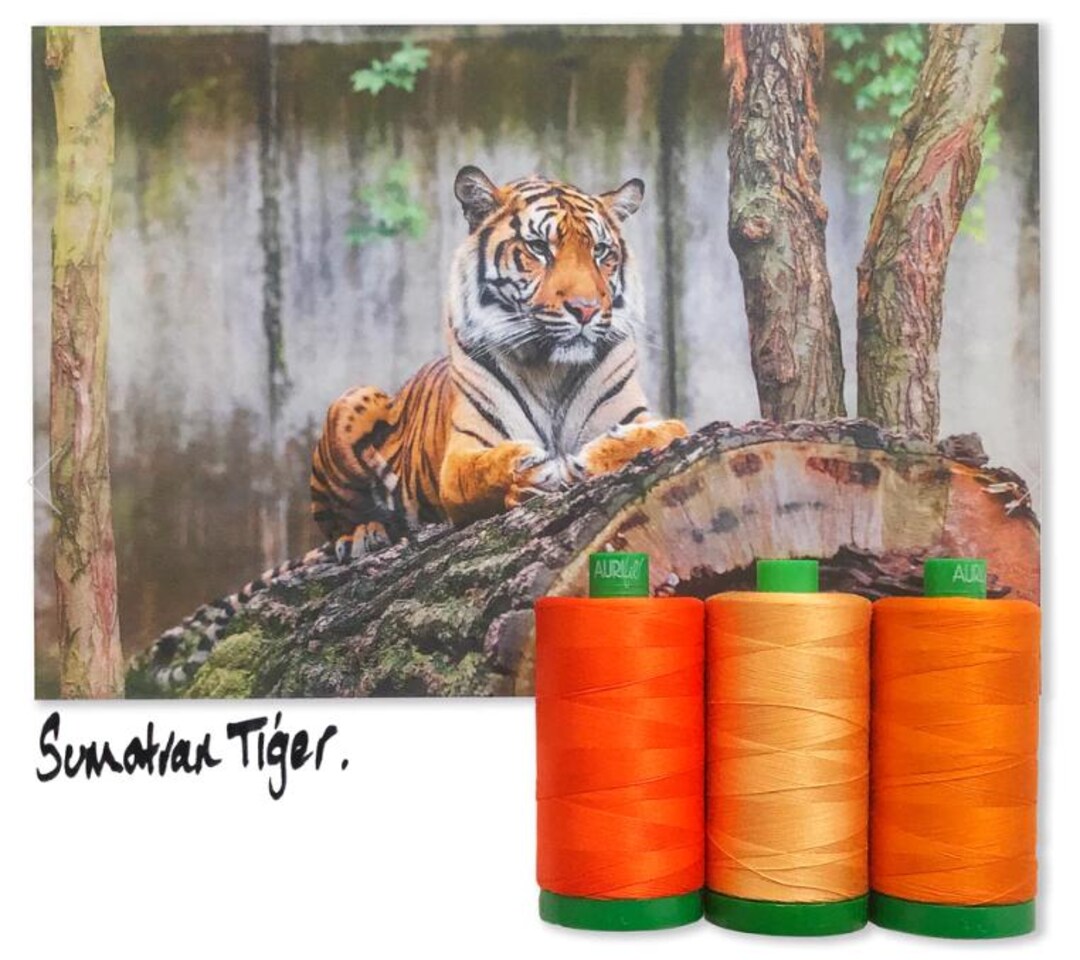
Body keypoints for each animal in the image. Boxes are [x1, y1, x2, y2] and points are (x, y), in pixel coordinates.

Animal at [310, 165, 688, 561]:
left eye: (600, 251)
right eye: (539, 248)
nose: (585, 310)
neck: (552, 369)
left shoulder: (638, 417)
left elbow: (669, 431)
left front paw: (597, 456)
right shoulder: (462, 455)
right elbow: (481, 471)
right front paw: (532, 470)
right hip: (352, 401)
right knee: (334, 522)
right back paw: (363, 535)